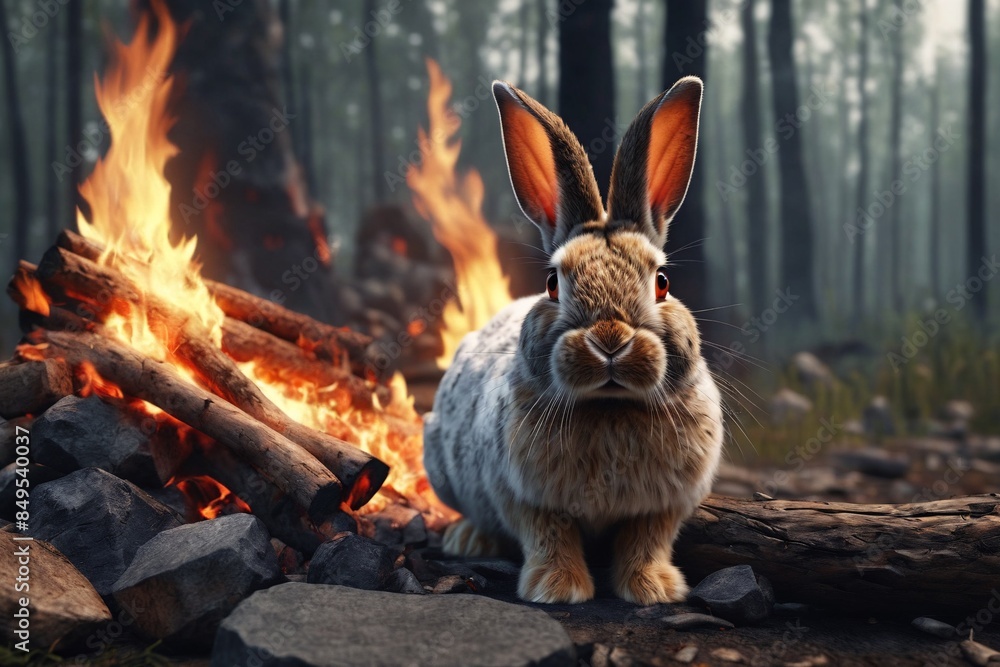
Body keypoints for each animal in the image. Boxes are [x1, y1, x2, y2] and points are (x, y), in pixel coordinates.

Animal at [423, 76, 724, 606]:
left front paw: (654, 589)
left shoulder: (662, 507)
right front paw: (557, 589)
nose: (609, 339)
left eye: (662, 282)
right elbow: (549, 536)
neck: (608, 407)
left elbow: (647, 541)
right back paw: (467, 539)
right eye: (552, 285)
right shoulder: (525, 496)